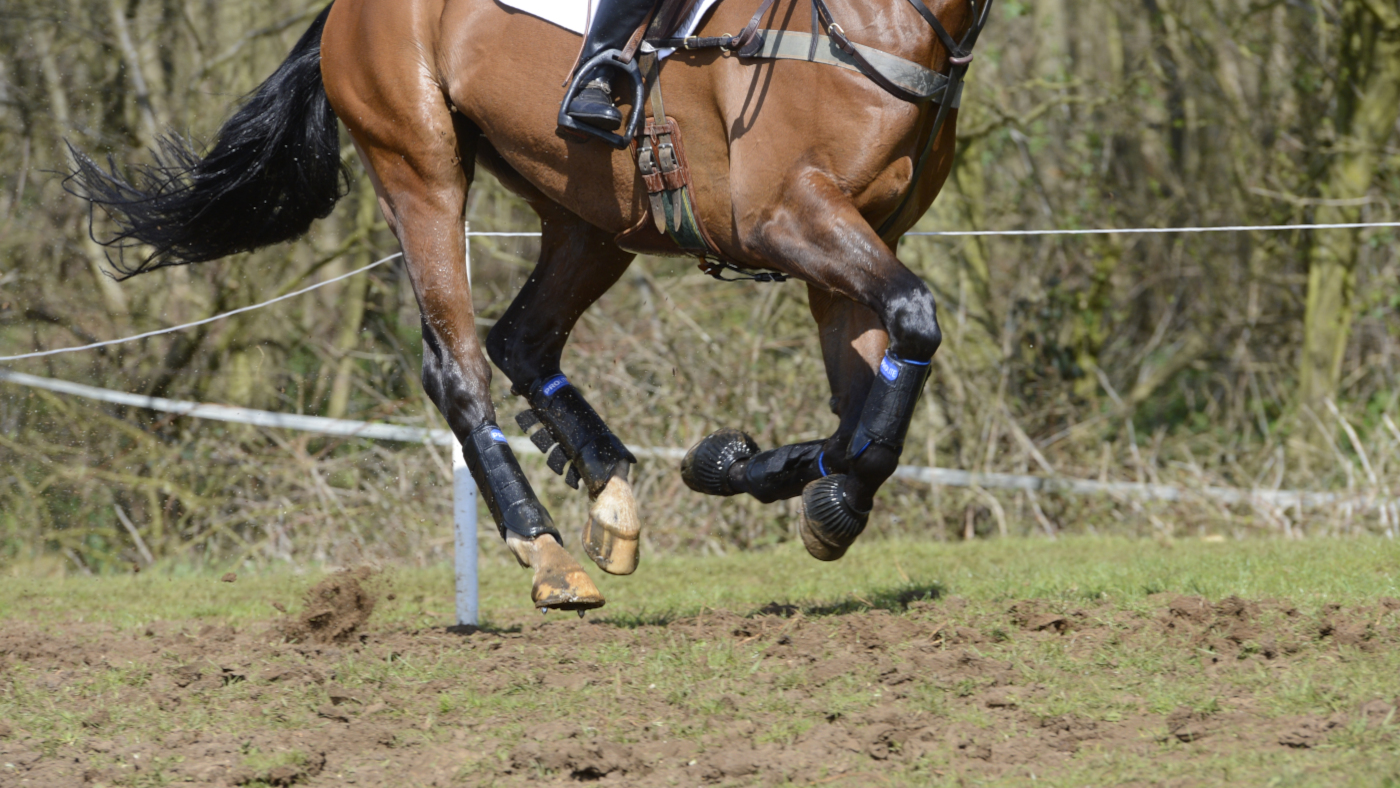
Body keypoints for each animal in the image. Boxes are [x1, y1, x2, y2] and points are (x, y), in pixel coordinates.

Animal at [69, 0, 989, 612]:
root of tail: (345, 9)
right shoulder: (789, 216)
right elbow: (912, 324)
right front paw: (832, 500)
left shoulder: (848, 246)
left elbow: (858, 409)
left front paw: (741, 467)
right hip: (421, 168)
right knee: (459, 369)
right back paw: (544, 550)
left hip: (592, 214)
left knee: (523, 338)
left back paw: (604, 483)